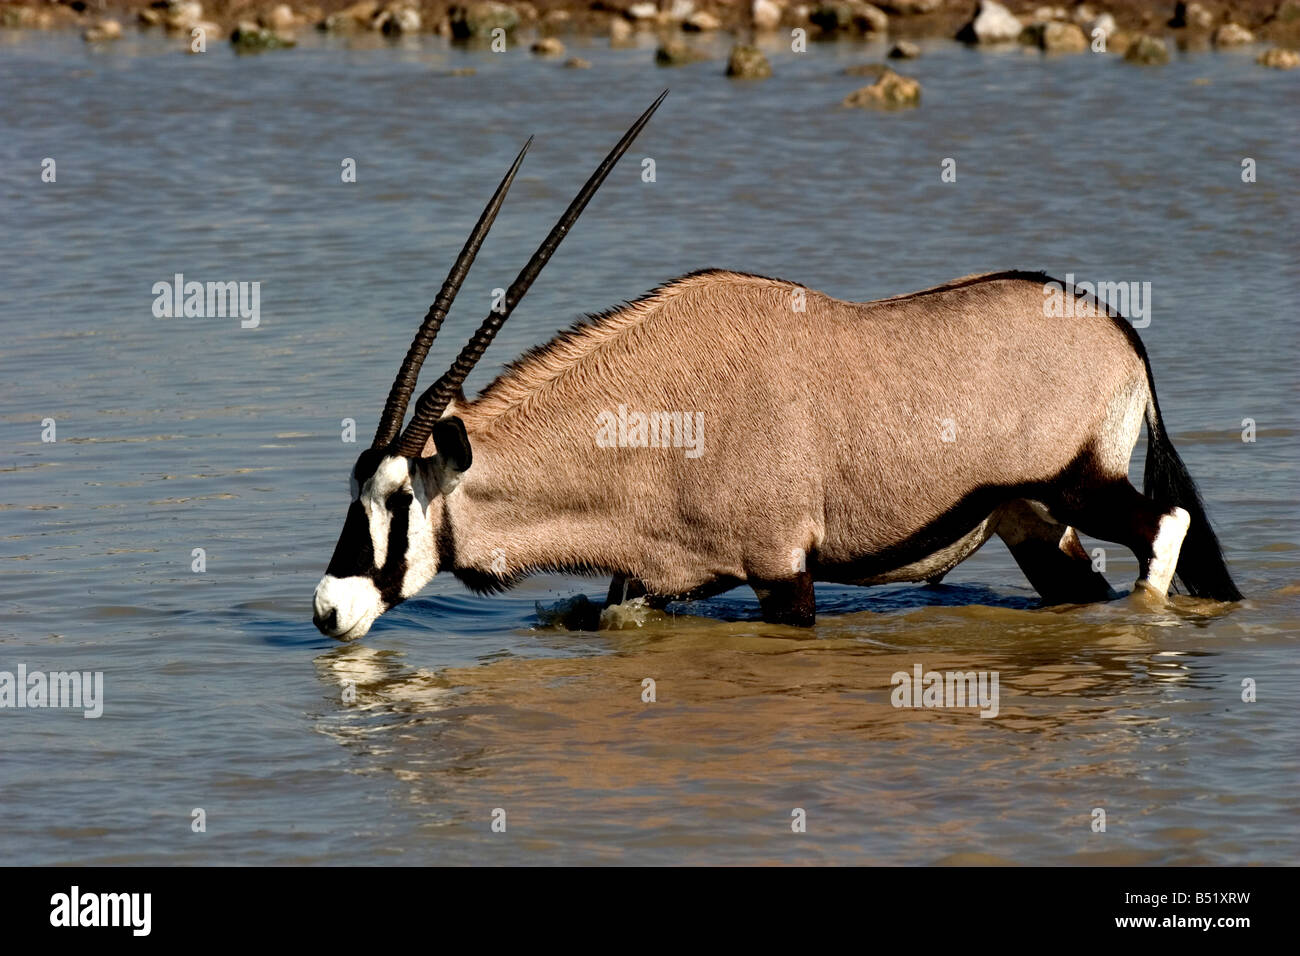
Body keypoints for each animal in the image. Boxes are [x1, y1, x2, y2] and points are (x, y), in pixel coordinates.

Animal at [312, 94, 1240, 640]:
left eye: (398, 501)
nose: (327, 609)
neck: (656, 413)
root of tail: (1116, 327)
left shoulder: (783, 573)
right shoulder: (648, 580)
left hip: (1081, 483)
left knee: (1166, 527)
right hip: (1036, 522)